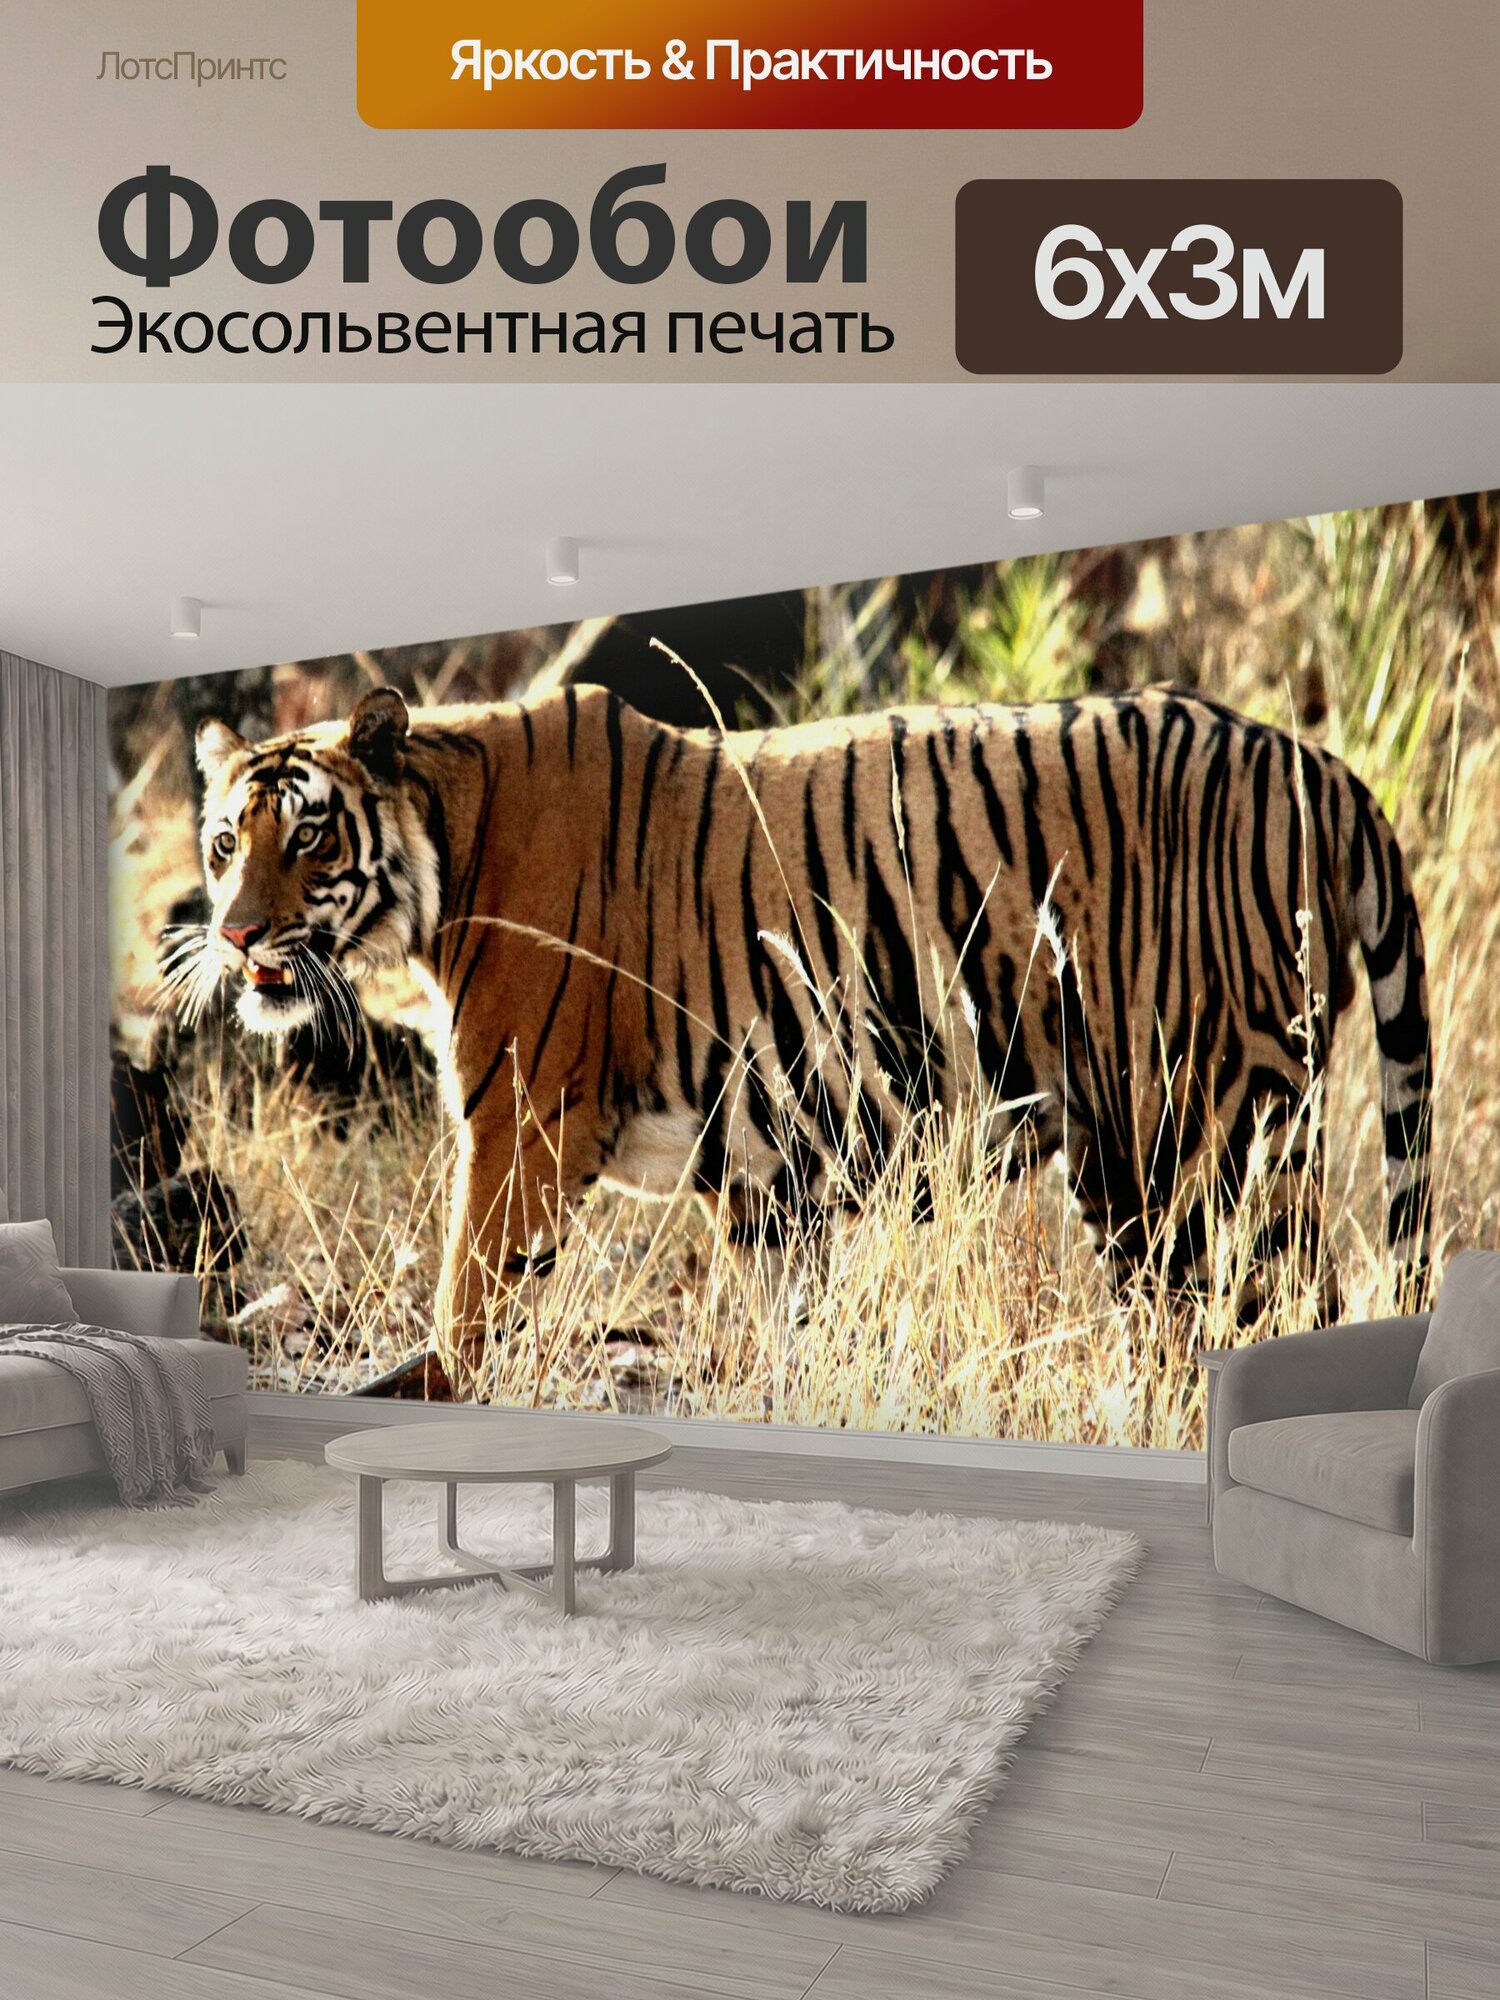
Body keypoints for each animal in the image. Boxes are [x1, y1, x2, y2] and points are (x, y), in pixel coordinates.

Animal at [180, 680, 1433, 1395]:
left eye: (308, 834)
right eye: (223, 841)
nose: (233, 931)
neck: (450, 838)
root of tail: (1321, 764)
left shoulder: (520, 1126)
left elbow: (462, 1317)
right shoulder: (766, 1184)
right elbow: (799, 1332)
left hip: (1221, 1114)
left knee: (1290, 1305)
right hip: (1123, 1156)